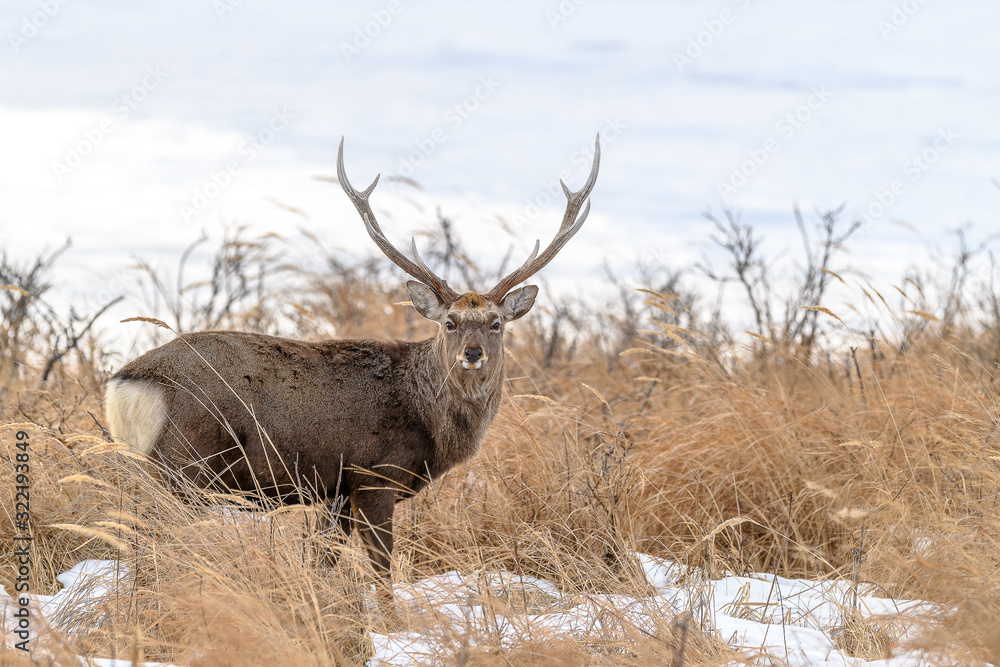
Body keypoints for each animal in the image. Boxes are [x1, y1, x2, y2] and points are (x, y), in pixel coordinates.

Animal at [105, 135, 600, 596]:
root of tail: (126, 383)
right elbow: (381, 572)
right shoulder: (375, 476)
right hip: (183, 465)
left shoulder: (334, 492)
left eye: (496, 323)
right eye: (450, 322)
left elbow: (322, 562)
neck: (427, 415)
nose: (473, 353)